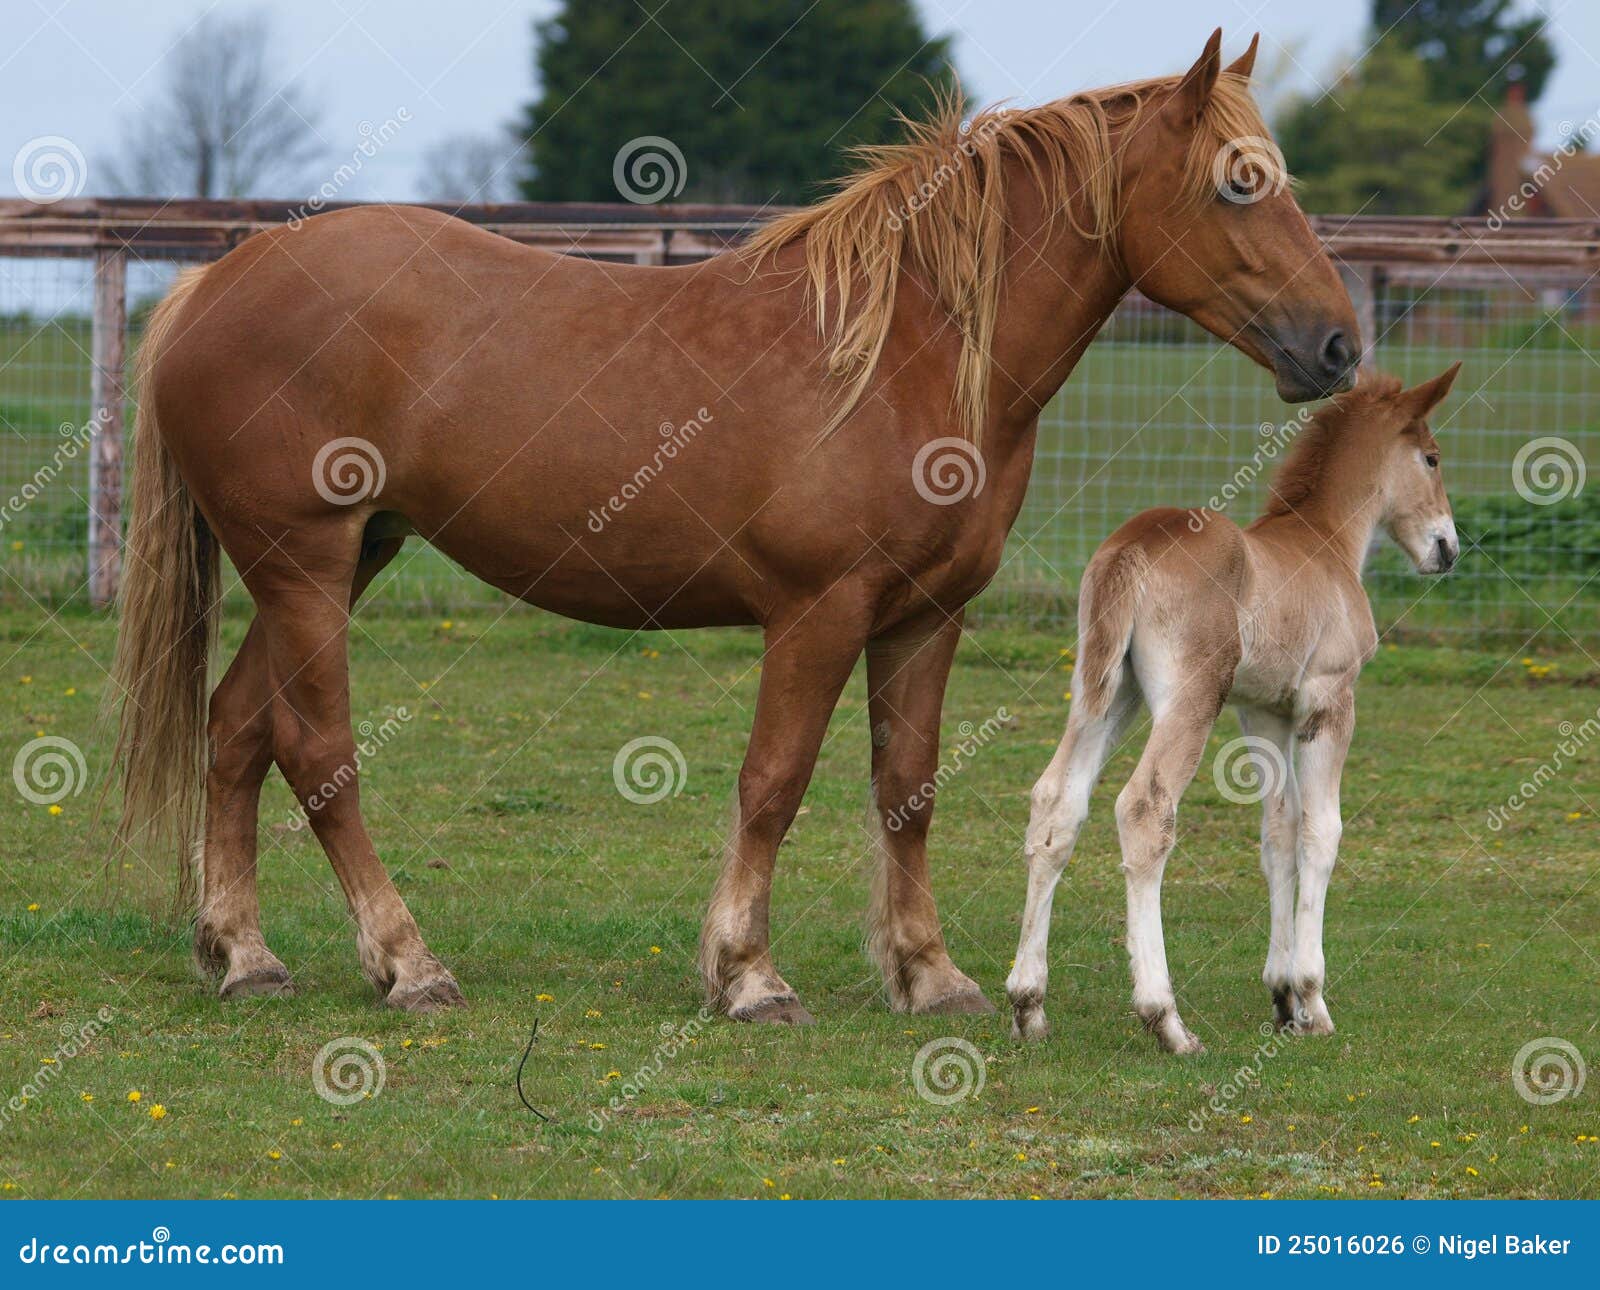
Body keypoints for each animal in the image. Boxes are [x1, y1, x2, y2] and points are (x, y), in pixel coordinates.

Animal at [110, 28, 1359, 1022]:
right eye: (1238, 184)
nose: (1339, 346)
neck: (908, 351)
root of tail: (216, 283)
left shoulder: (925, 618)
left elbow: (907, 787)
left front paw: (927, 973)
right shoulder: (817, 614)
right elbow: (774, 781)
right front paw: (748, 974)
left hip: (342, 560)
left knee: (237, 730)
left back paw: (244, 956)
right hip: (305, 565)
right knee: (316, 751)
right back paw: (405, 962)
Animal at [1006, 365, 1462, 1052]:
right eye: (1431, 457)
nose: (1447, 548)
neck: (1325, 542)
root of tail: (1132, 546)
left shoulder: (1264, 712)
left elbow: (1279, 831)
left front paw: (1282, 998)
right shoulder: (1330, 699)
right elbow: (1322, 832)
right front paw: (1312, 999)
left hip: (1106, 693)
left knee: (1057, 800)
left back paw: (1029, 1004)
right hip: (1190, 699)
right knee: (1144, 810)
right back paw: (1166, 1020)